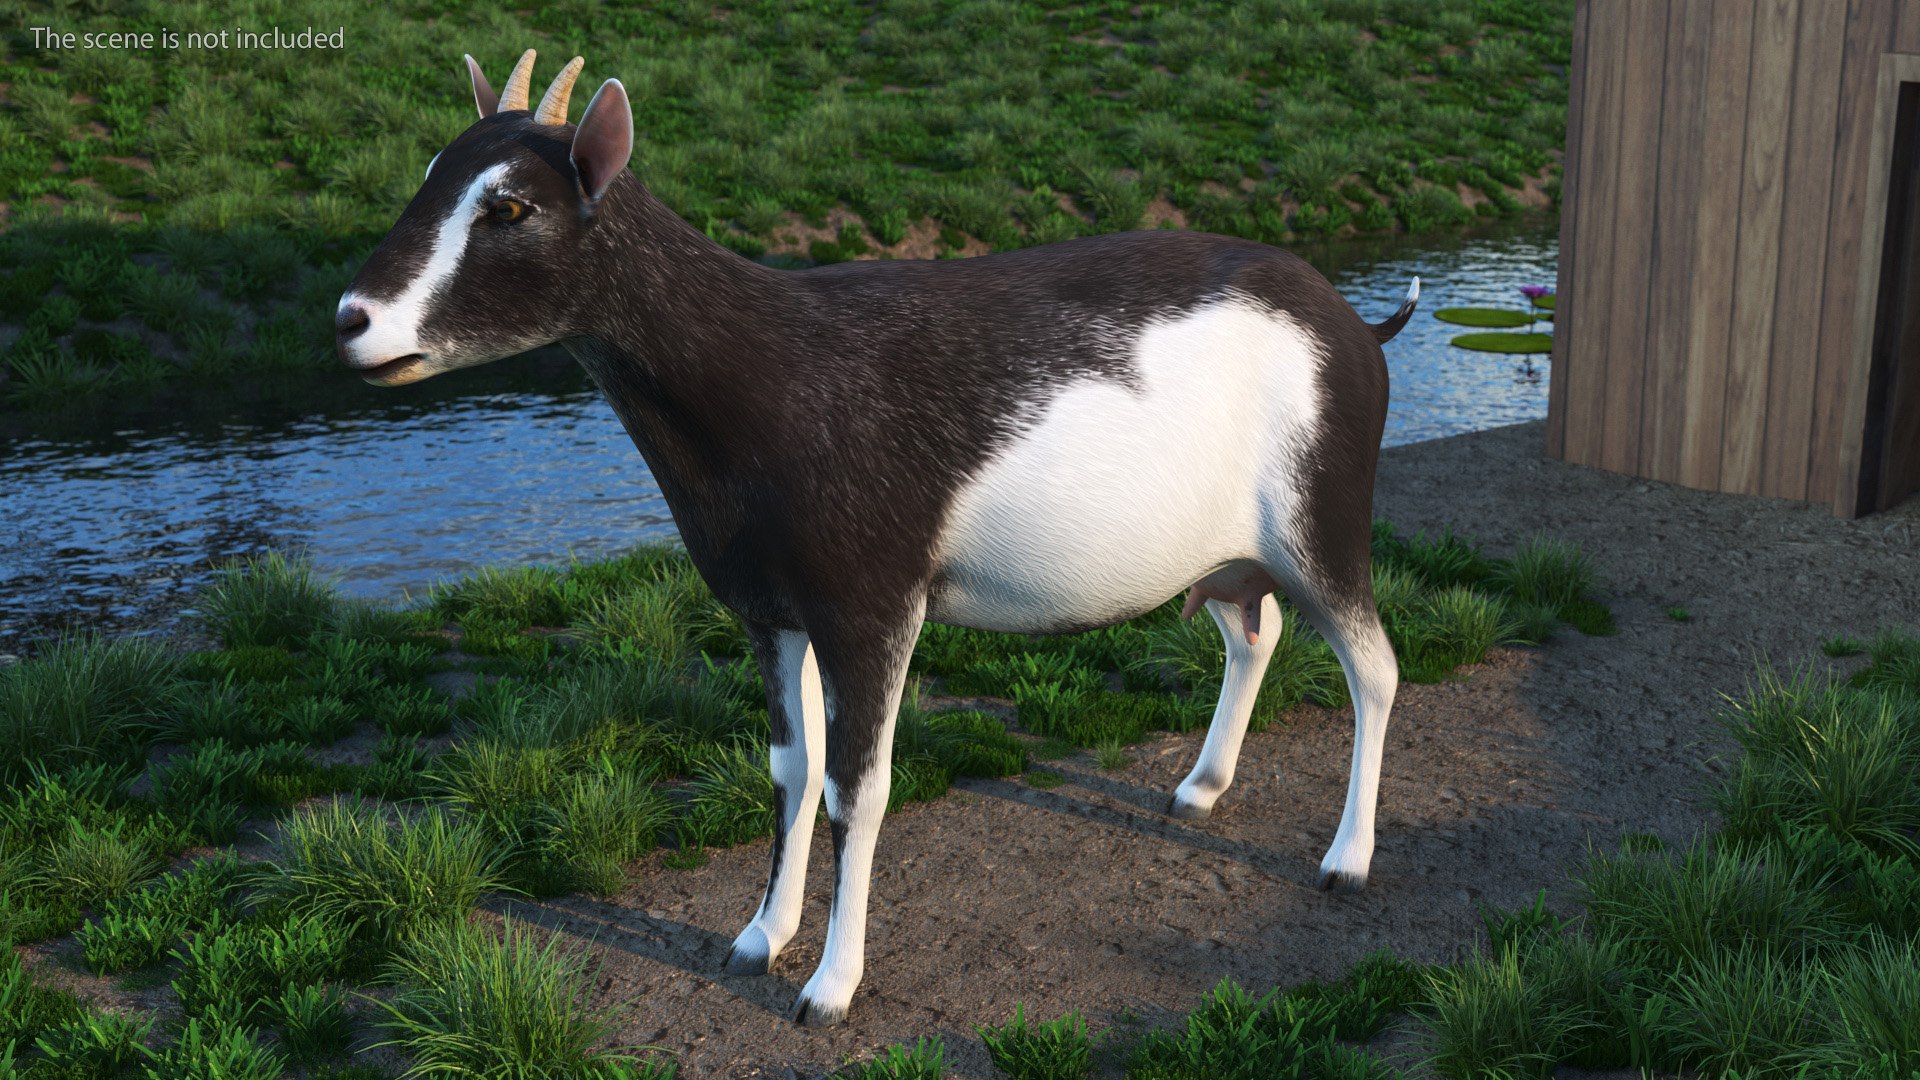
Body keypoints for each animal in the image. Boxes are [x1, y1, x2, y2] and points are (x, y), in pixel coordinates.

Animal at [336, 51, 1416, 1026]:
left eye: (512, 207)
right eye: (432, 170)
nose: (353, 319)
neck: (777, 376)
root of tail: (1359, 326)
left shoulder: (874, 606)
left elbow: (859, 789)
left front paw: (829, 987)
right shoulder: (769, 611)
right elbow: (790, 769)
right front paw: (758, 939)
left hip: (1323, 522)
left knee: (1375, 667)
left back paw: (1349, 860)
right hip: (1233, 551)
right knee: (1253, 634)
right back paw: (1200, 790)